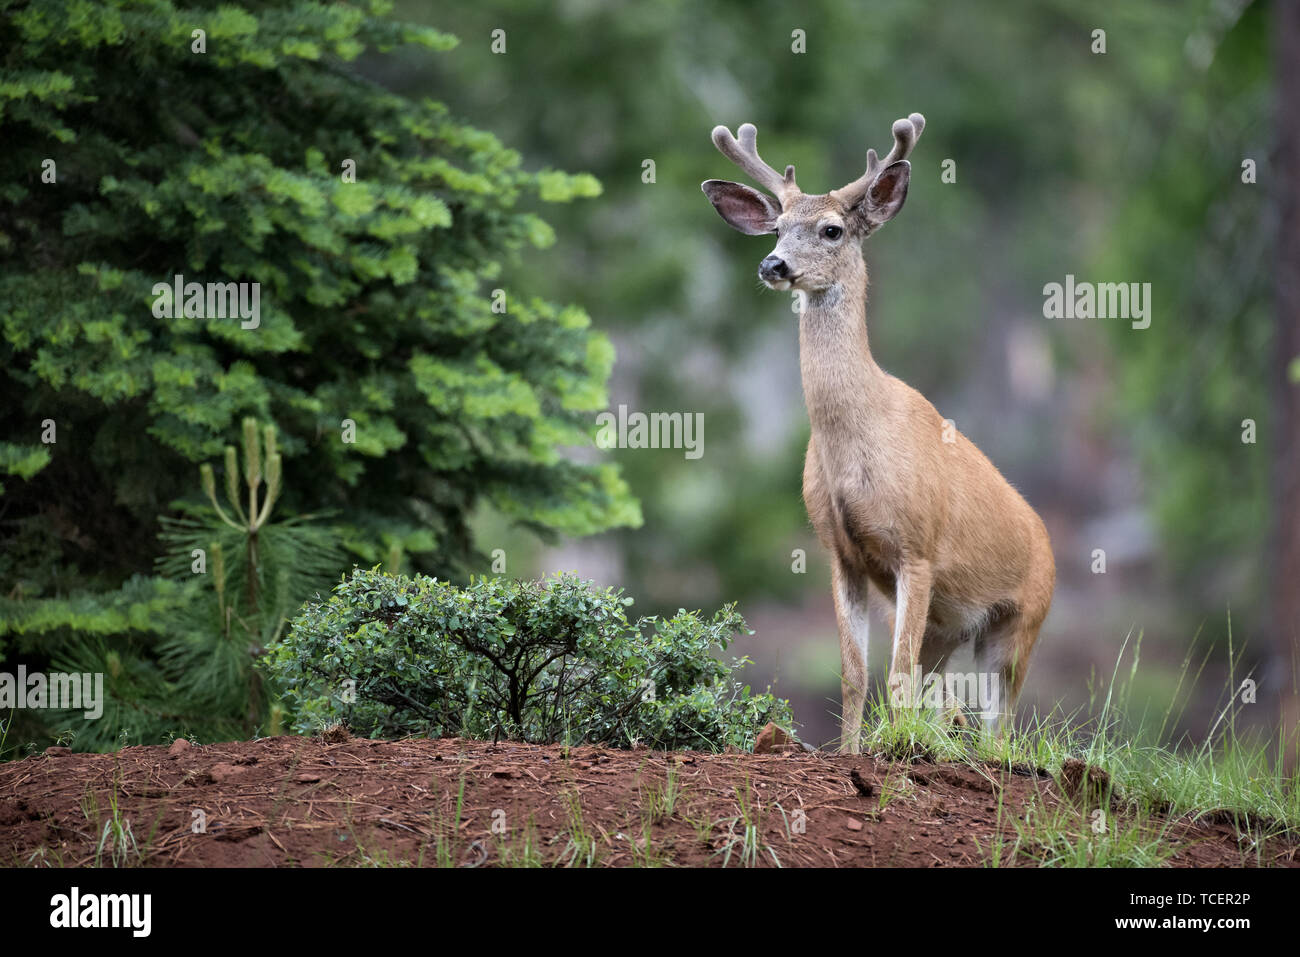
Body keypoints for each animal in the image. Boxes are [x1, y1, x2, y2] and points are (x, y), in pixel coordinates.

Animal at [702, 114, 1055, 753]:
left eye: (832, 229)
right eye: (778, 227)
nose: (773, 266)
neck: (856, 444)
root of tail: (1050, 547)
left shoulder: (918, 547)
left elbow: (893, 675)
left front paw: (892, 755)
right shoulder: (840, 552)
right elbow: (853, 672)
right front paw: (850, 753)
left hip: (1021, 621)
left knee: (999, 722)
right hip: (947, 625)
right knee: (941, 692)